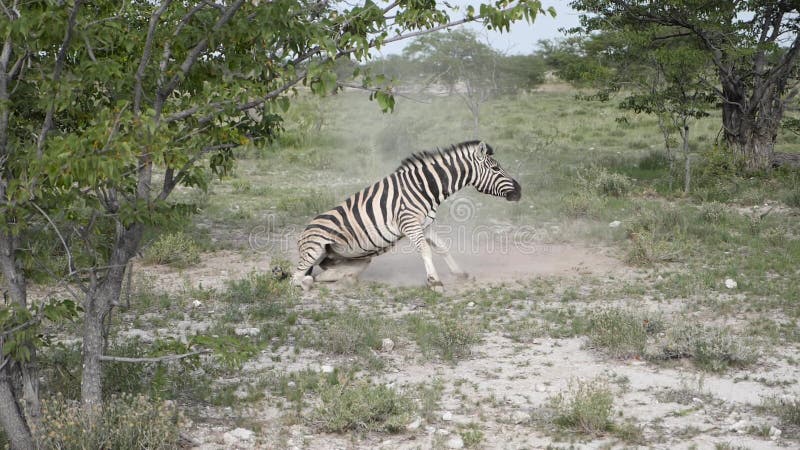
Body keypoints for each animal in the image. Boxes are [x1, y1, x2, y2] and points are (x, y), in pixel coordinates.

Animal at [291, 140, 521, 291]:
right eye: (496, 168)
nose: (519, 191)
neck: (424, 186)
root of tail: (304, 232)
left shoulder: (425, 224)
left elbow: (442, 248)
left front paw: (459, 273)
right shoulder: (409, 223)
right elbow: (425, 250)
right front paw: (434, 281)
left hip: (356, 260)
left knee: (324, 275)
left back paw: (346, 281)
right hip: (316, 248)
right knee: (296, 277)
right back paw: (305, 284)